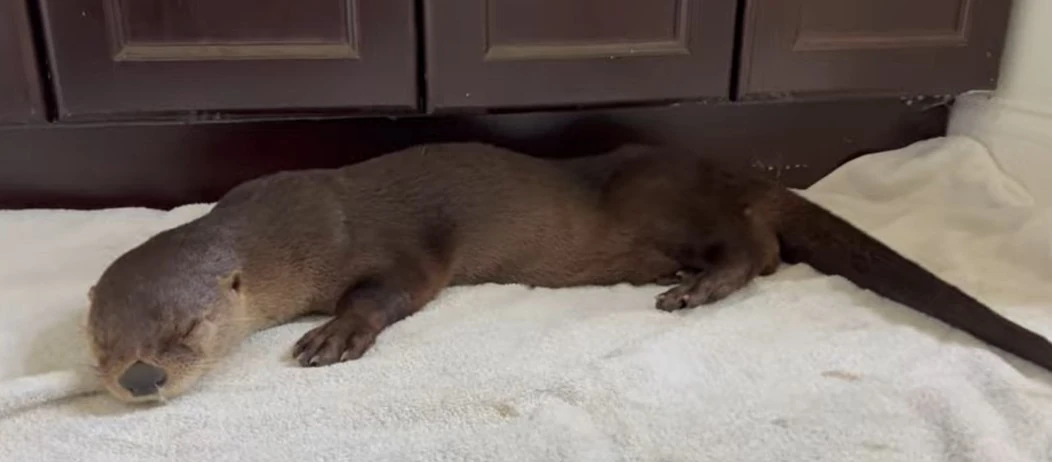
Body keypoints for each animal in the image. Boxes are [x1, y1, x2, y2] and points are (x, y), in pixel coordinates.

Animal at [85, 142, 1052, 403]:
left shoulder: (398, 251)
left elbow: (400, 290)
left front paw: (333, 334)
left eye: (188, 331)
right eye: (101, 342)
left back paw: (692, 289)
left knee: (752, 251)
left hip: (662, 194)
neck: (304, 228)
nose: (140, 378)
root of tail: (732, 171)